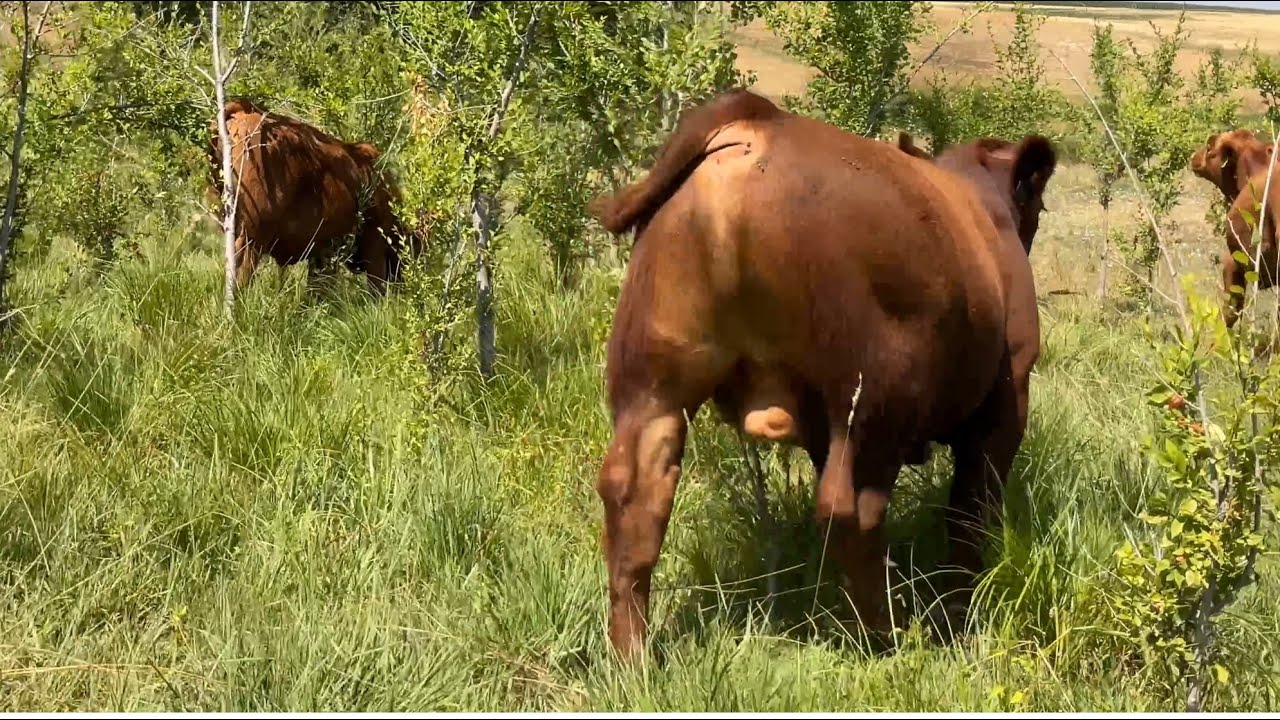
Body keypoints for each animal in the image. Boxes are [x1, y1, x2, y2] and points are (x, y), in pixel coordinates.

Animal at [586, 89, 1056, 662]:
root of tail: (760, 122)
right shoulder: (1005, 403)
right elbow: (968, 513)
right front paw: (961, 613)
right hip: (875, 399)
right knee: (851, 509)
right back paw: (889, 633)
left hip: (654, 385)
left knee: (634, 494)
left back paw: (631, 656)